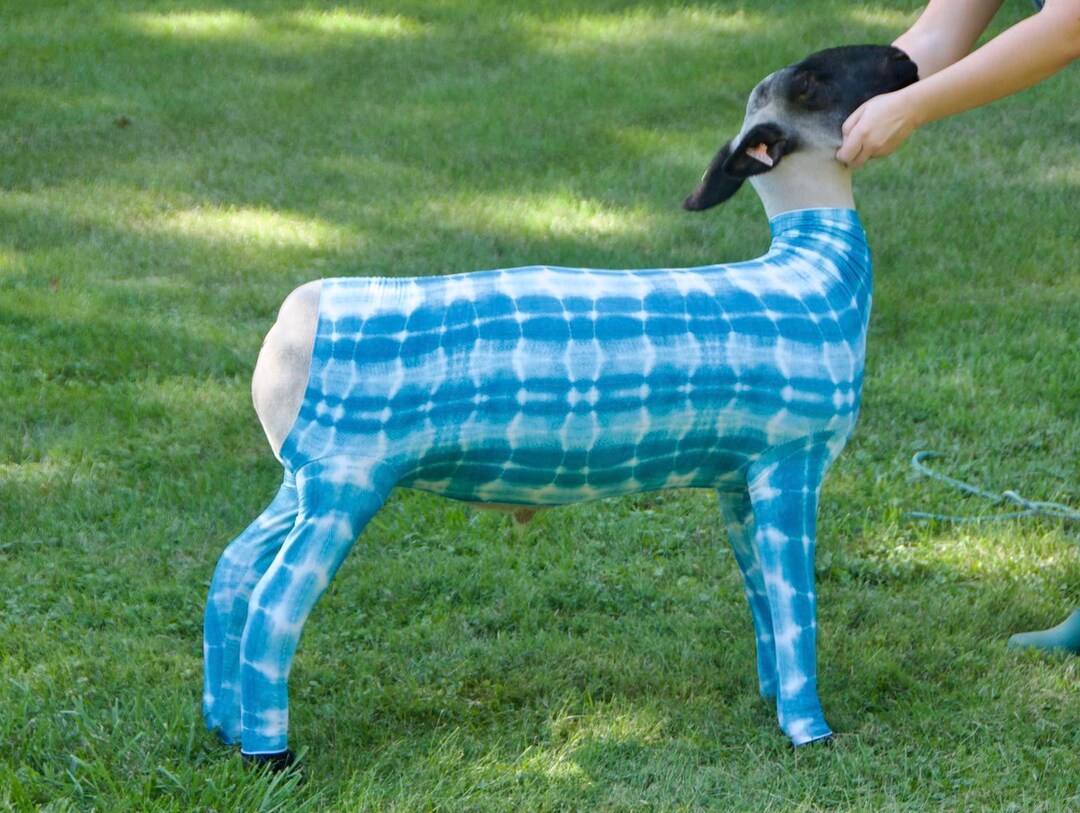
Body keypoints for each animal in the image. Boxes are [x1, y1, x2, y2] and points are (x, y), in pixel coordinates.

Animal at [203, 44, 919, 767]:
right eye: (811, 82)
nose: (903, 57)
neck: (810, 270)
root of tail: (289, 329)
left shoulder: (736, 477)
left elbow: (763, 596)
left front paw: (772, 697)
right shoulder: (789, 460)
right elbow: (797, 602)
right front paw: (811, 731)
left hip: (301, 477)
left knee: (232, 569)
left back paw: (223, 725)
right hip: (346, 479)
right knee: (272, 602)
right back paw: (268, 753)